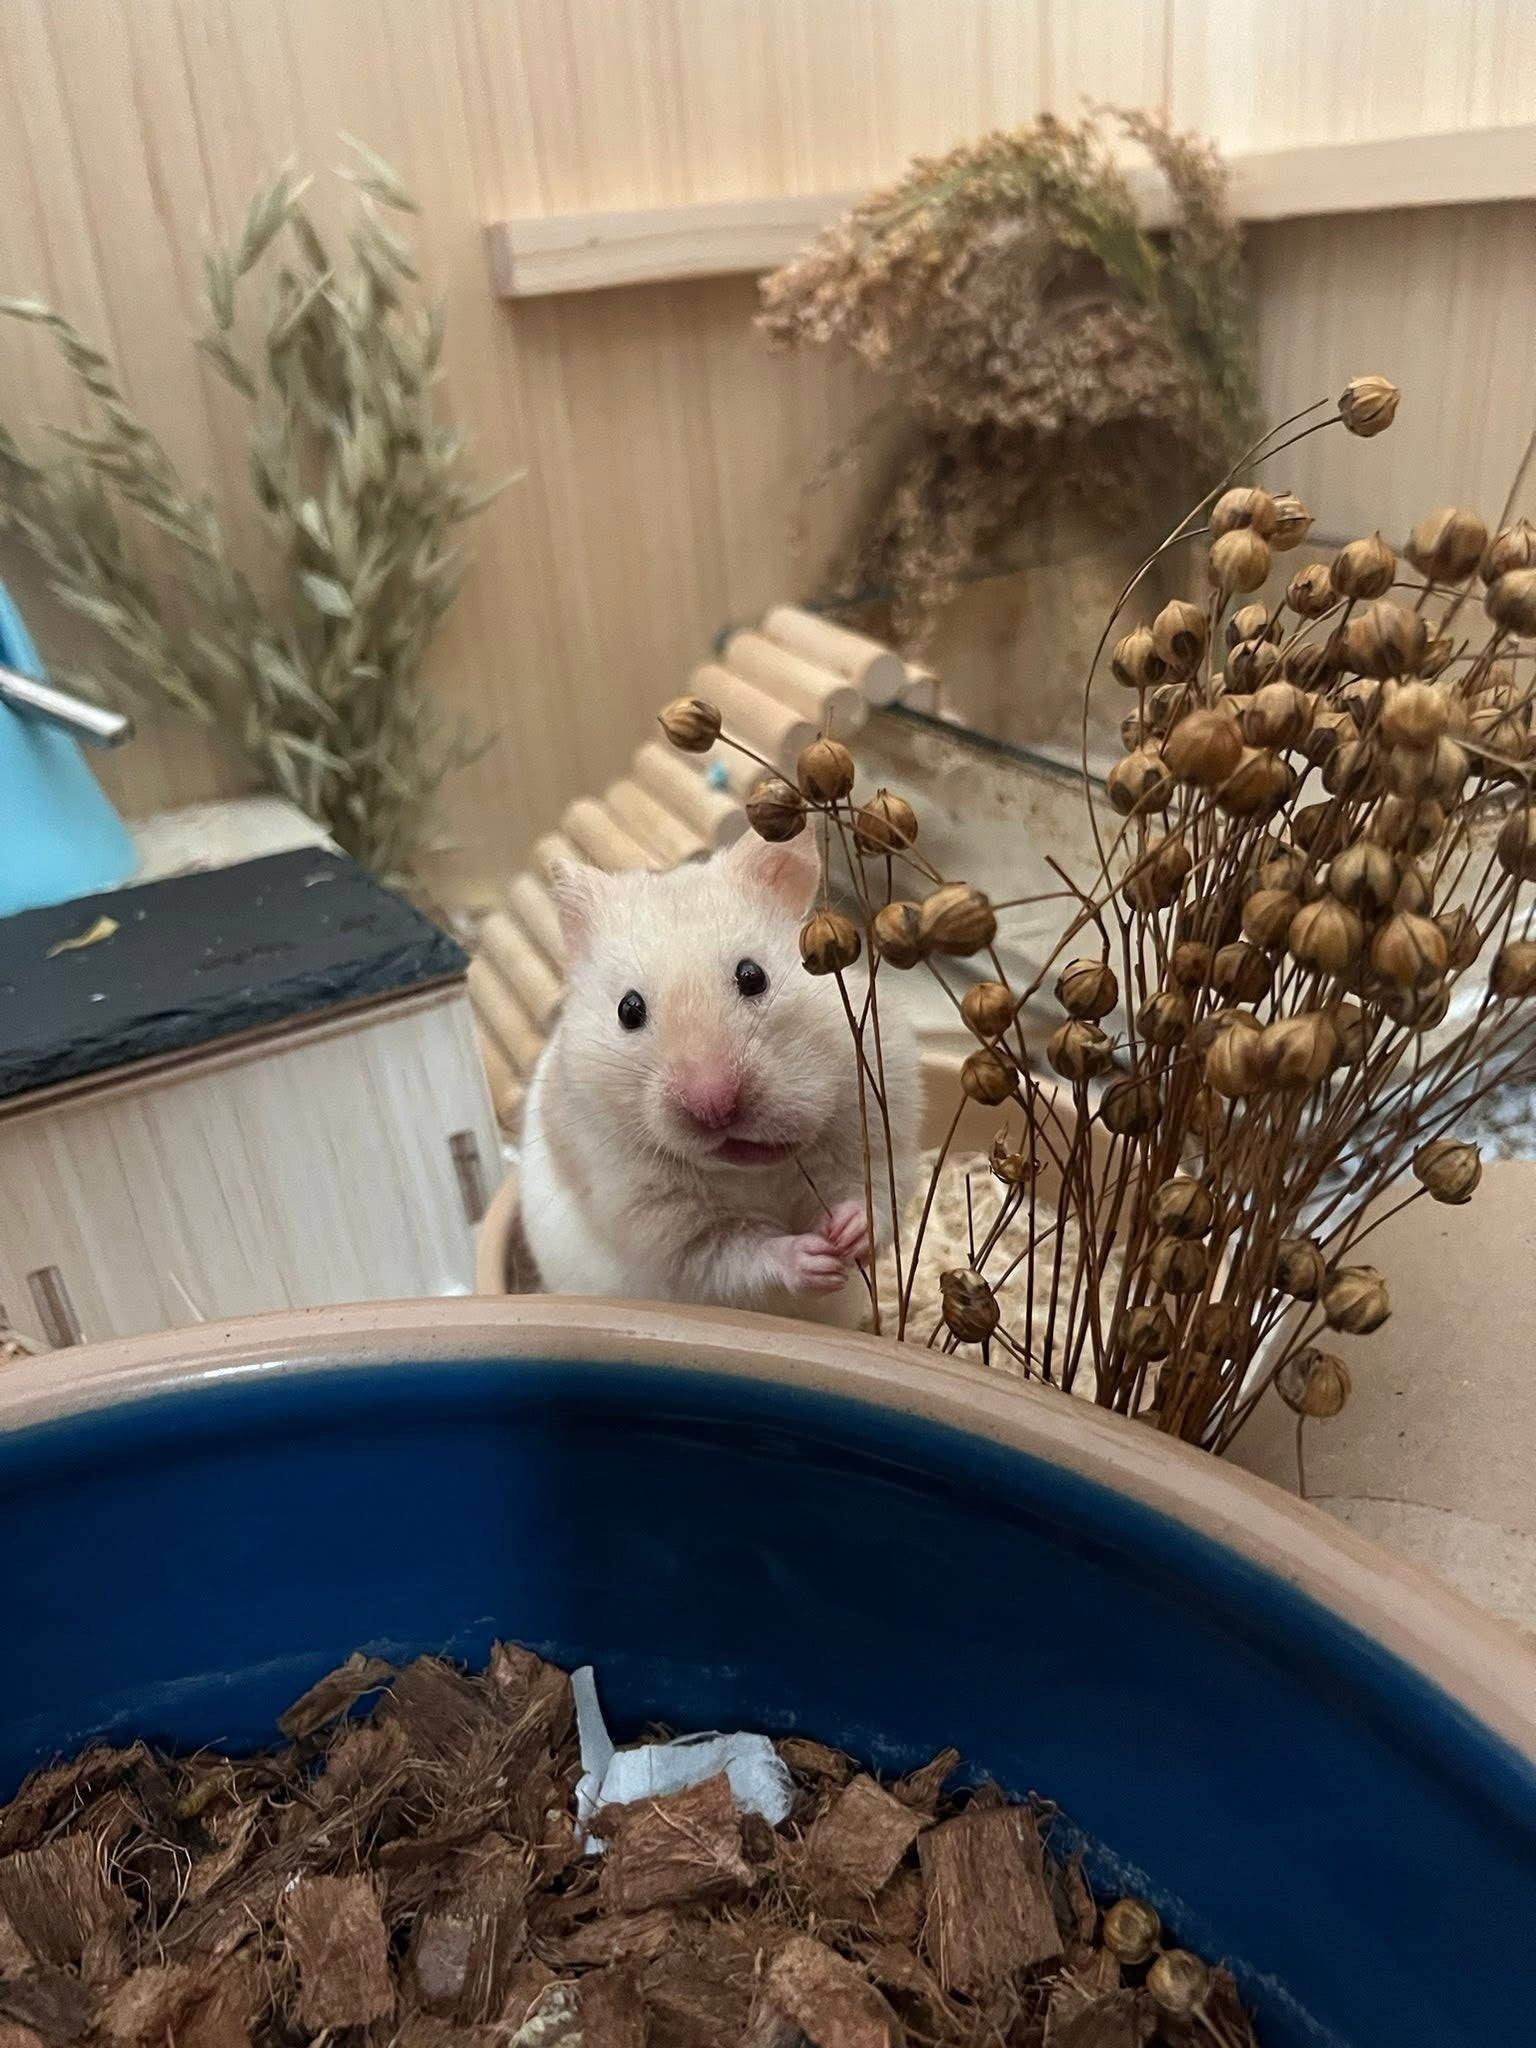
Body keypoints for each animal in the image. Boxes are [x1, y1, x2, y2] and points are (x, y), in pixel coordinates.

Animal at [519, 828, 920, 1325]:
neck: (755, 1168)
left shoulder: (882, 1132)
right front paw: (813, 1257)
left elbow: (876, 1197)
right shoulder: (665, 1225)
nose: (714, 1106)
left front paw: (846, 1232)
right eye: (628, 1010)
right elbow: (738, 1254)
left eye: (753, 976)